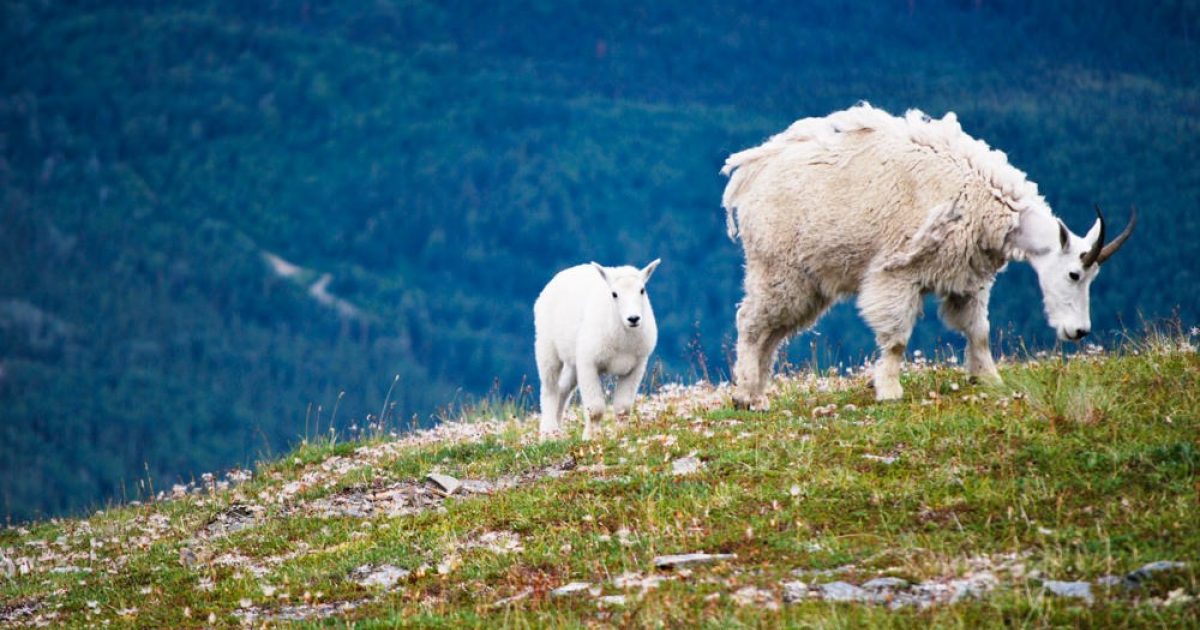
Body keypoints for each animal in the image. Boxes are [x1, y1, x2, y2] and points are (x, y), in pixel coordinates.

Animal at [534, 259, 661, 440]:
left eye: (642, 290)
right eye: (614, 294)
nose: (633, 318)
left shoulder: (637, 365)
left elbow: (623, 407)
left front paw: (622, 436)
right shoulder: (588, 362)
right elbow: (595, 409)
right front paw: (591, 438)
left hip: (573, 361)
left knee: (563, 388)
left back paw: (558, 430)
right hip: (546, 346)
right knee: (549, 388)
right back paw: (548, 433)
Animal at [721, 103, 1135, 407]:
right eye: (1074, 274)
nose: (1078, 331)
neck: (984, 197)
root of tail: (748, 178)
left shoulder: (968, 279)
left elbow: (979, 332)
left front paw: (990, 378)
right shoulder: (897, 274)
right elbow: (896, 337)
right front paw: (889, 391)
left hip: (808, 282)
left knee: (772, 331)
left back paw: (755, 392)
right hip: (778, 268)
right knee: (750, 322)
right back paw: (746, 394)